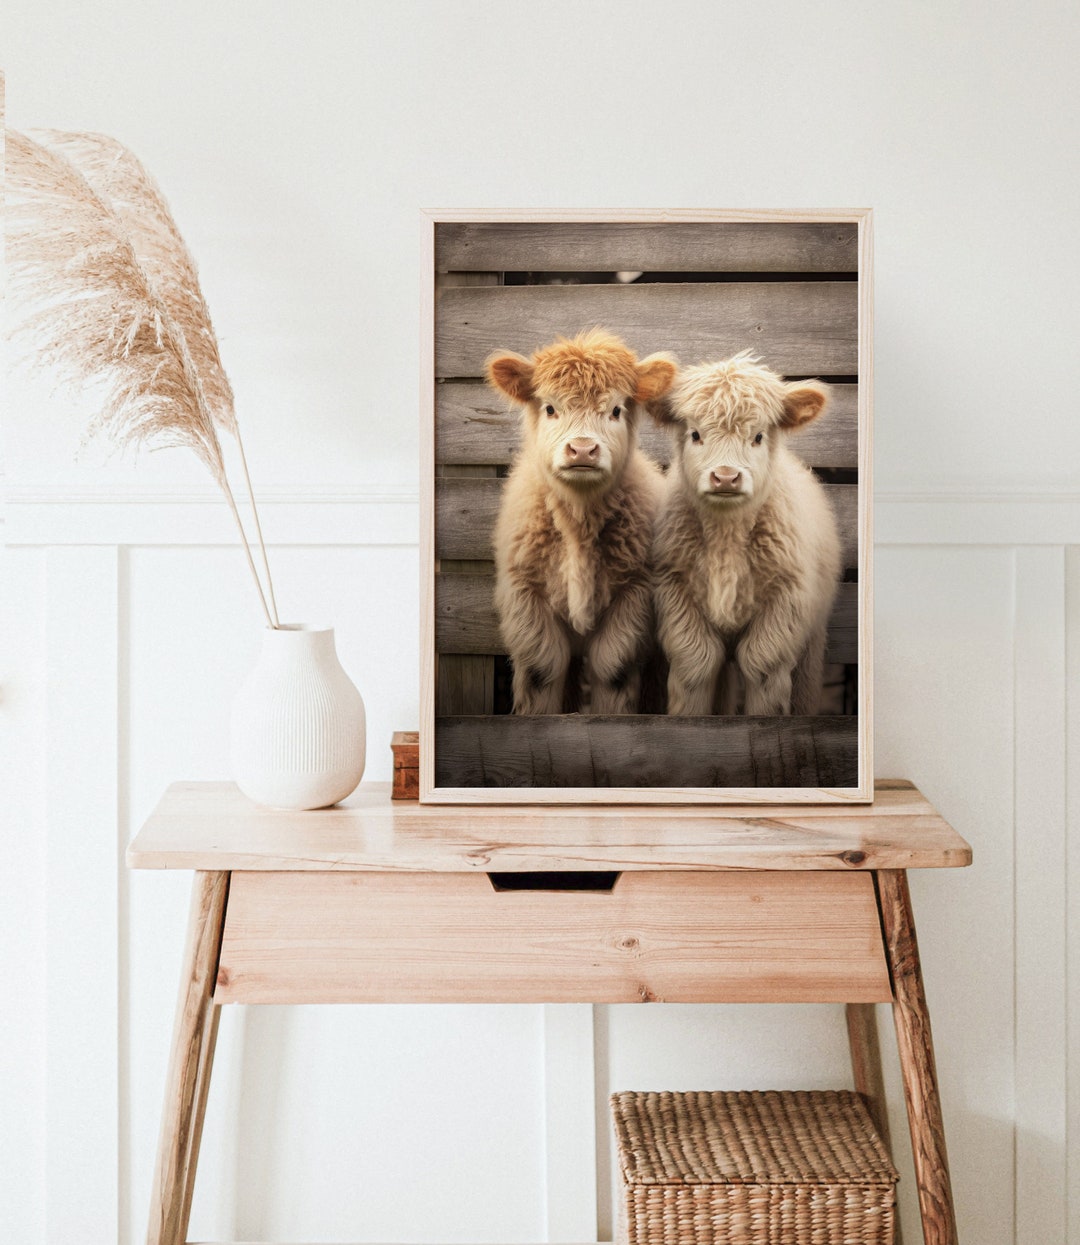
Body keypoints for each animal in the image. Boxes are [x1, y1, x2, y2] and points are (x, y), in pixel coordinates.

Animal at [485, 328, 676, 714]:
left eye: (616, 409)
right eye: (550, 408)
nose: (583, 450)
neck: (578, 522)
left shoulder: (633, 595)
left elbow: (612, 668)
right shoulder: (525, 595)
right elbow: (543, 670)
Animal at [651, 352, 841, 716]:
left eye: (758, 437)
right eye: (695, 434)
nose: (726, 477)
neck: (726, 538)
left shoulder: (785, 602)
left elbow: (762, 666)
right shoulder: (677, 594)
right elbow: (695, 664)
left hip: (812, 640)